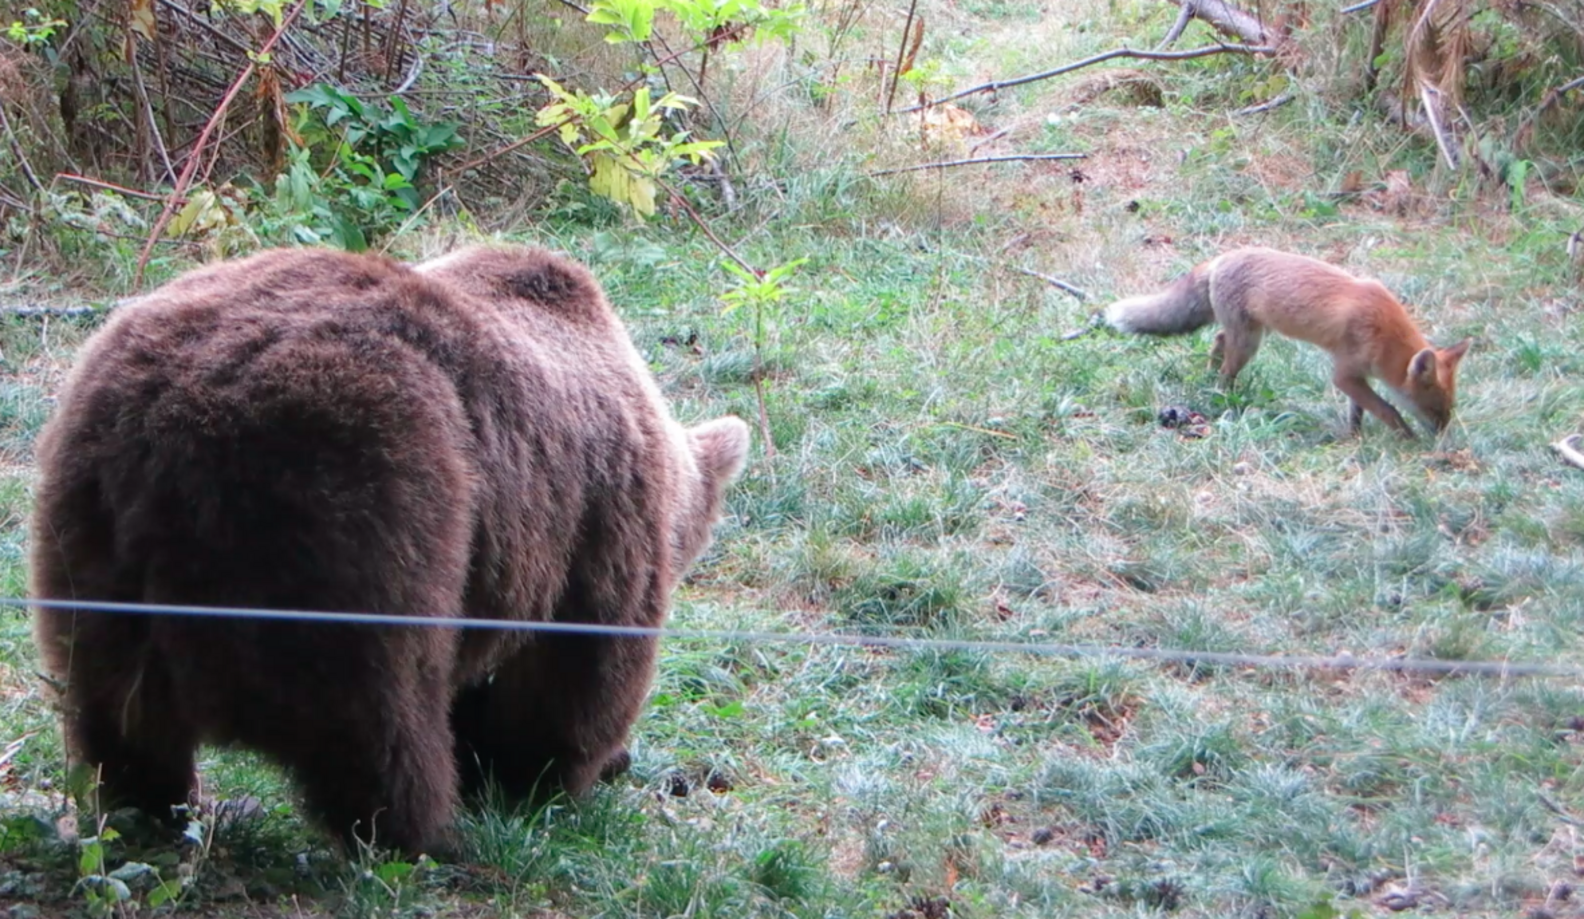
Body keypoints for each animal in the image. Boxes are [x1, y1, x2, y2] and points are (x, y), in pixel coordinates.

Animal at [29, 243, 750, 857]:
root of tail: (178, 422)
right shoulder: (595, 522)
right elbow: (581, 672)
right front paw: (550, 778)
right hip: (373, 489)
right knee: (381, 703)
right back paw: (423, 831)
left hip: (90, 516)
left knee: (114, 703)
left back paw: (145, 807)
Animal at [1104, 246, 1471, 438]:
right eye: (1435, 409)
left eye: (1449, 409)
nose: (1442, 438)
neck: (1384, 332)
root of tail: (1223, 256)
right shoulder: (1344, 373)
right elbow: (1388, 409)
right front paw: (1405, 436)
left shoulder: (1357, 376)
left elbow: (1359, 410)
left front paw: (1354, 437)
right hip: (1249, 343)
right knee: (1227, 369)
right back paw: (1224, 399)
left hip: (1249, 333)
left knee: (1219, 340)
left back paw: (1209, 377)